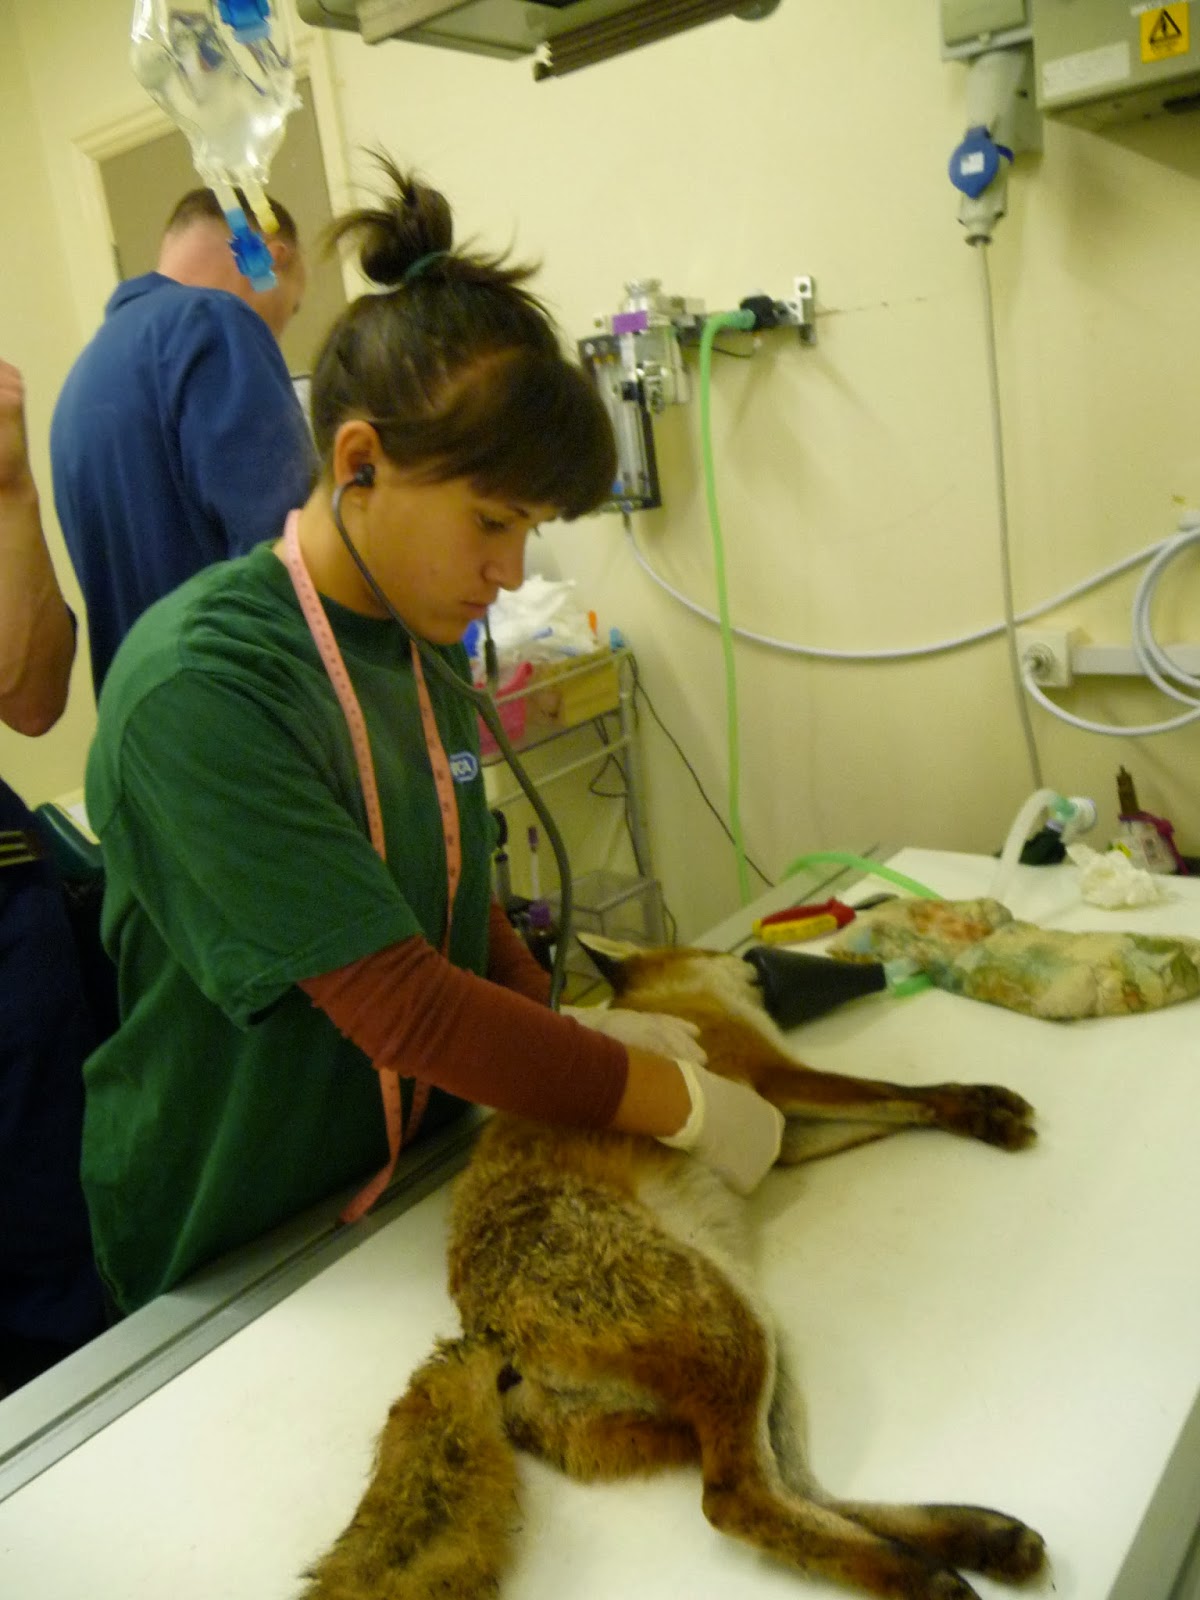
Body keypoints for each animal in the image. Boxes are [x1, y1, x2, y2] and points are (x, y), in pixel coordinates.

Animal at [300, 934, 1046, 1600]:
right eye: (716, 950)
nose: (754, 955)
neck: (682, 1005)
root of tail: (485, 1333)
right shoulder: (778, 1083)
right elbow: (897, 1089)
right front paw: (979, 1105)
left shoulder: (787, 1138)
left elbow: (894, 1106)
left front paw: (979, 1111)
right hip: (732, 1332)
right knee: (738, 1502)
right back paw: (925, 1577)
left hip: (755, 1338)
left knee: (800, 1490)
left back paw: (976, 1540)